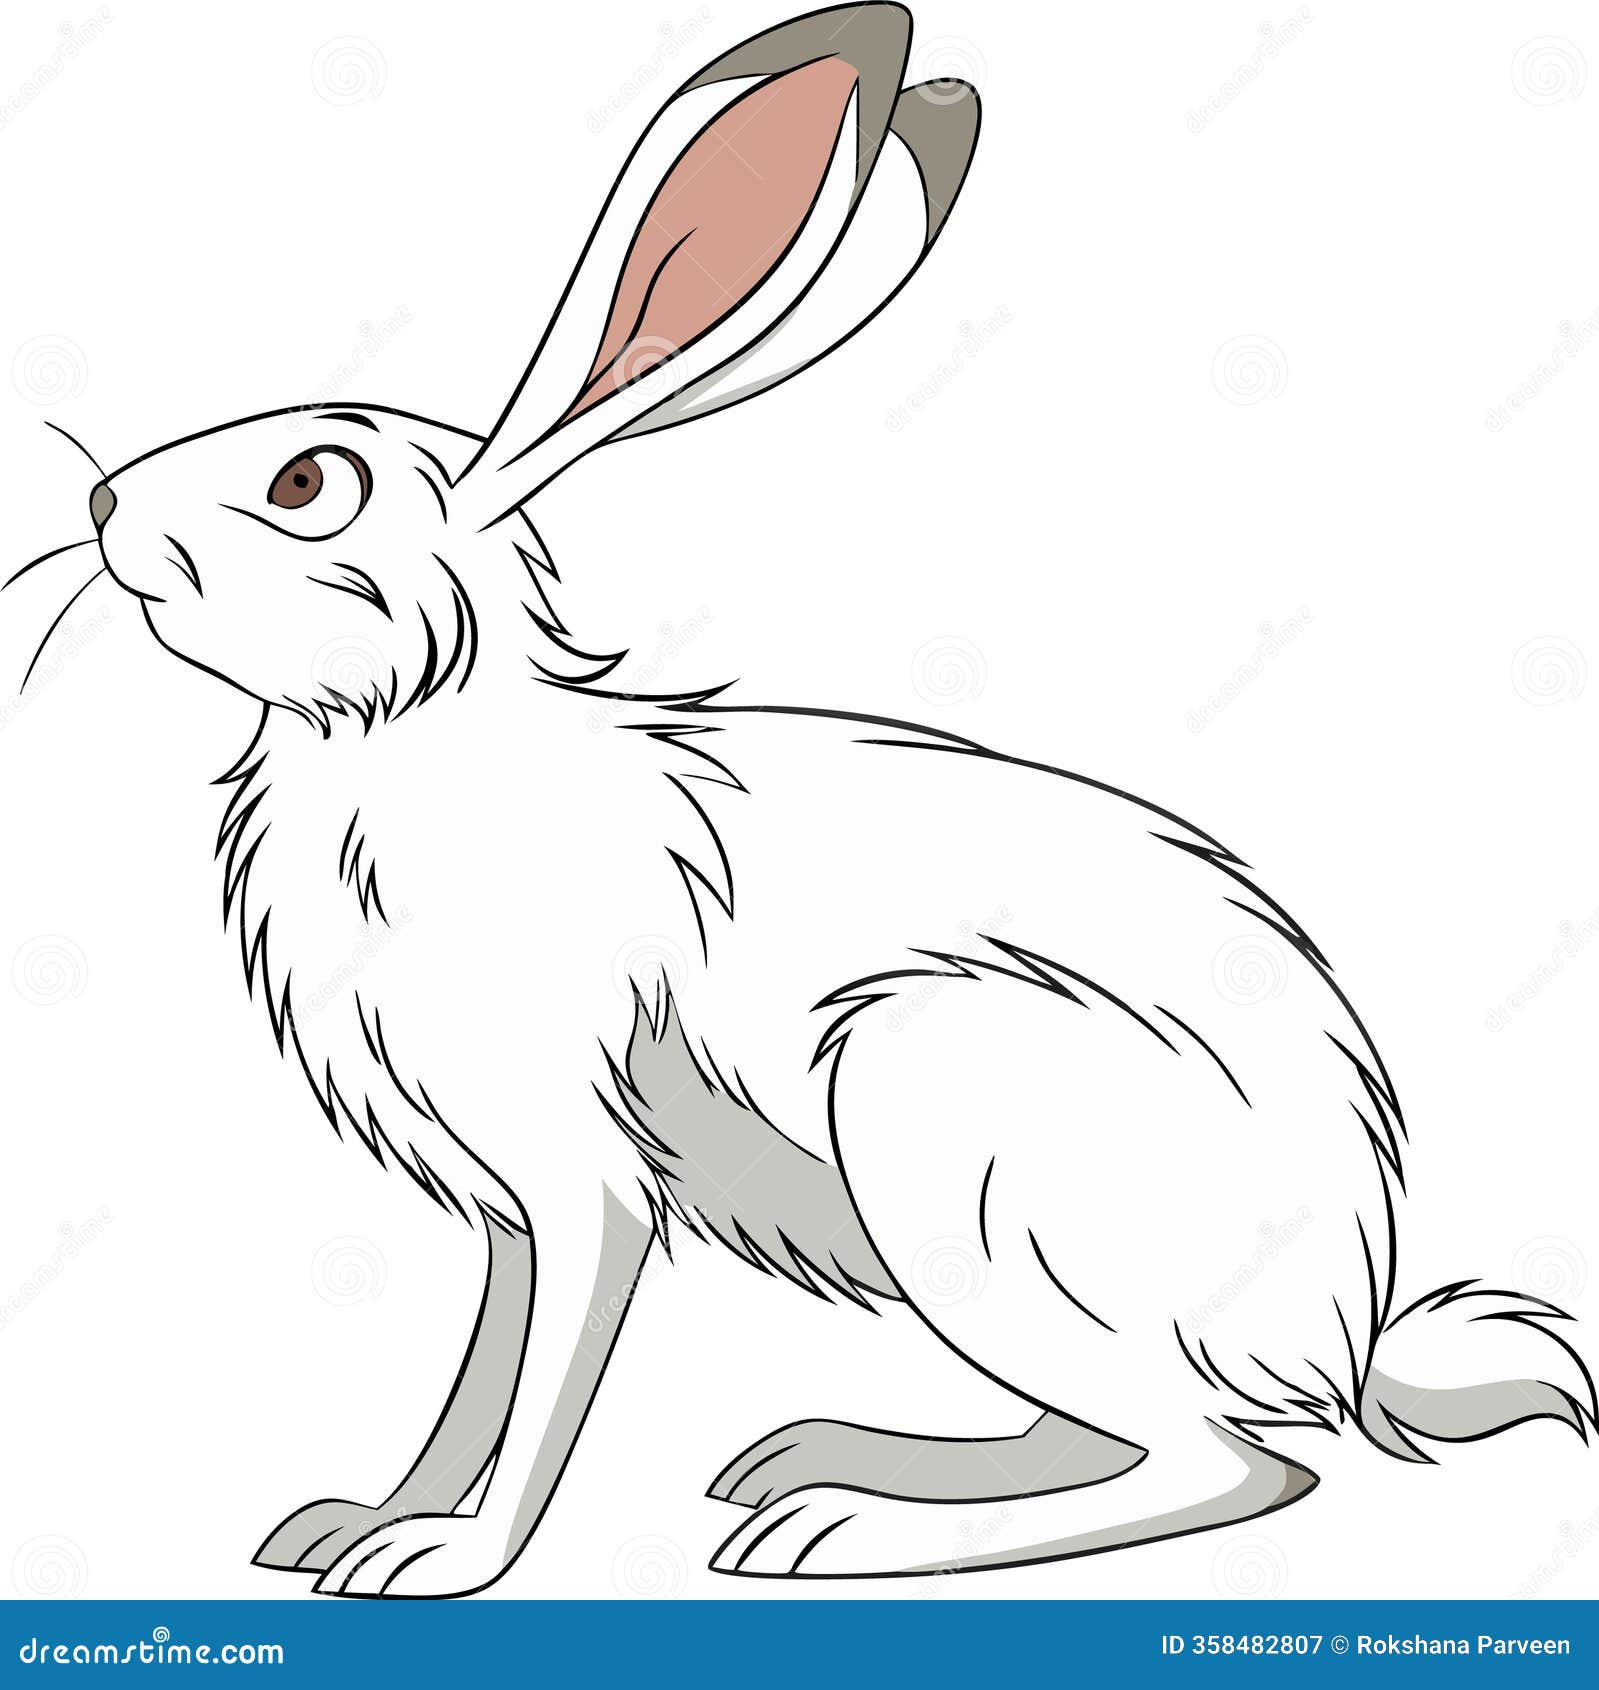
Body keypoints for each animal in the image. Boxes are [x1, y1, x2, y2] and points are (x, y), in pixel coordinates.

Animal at [15, 2, 1595, 1598]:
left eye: (307, 482)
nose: (100, 508)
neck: (409, 730)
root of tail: (1342, 1330)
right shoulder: (501, 1200)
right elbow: (481, 1370)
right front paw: (359, 1521)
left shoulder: (578, 1170)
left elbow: (545, 1382)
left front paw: (441, 1561)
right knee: (1118, 1431)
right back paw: (825, 1457)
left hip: (943, 1117)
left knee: (1234, 1463)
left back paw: (843, 1529)